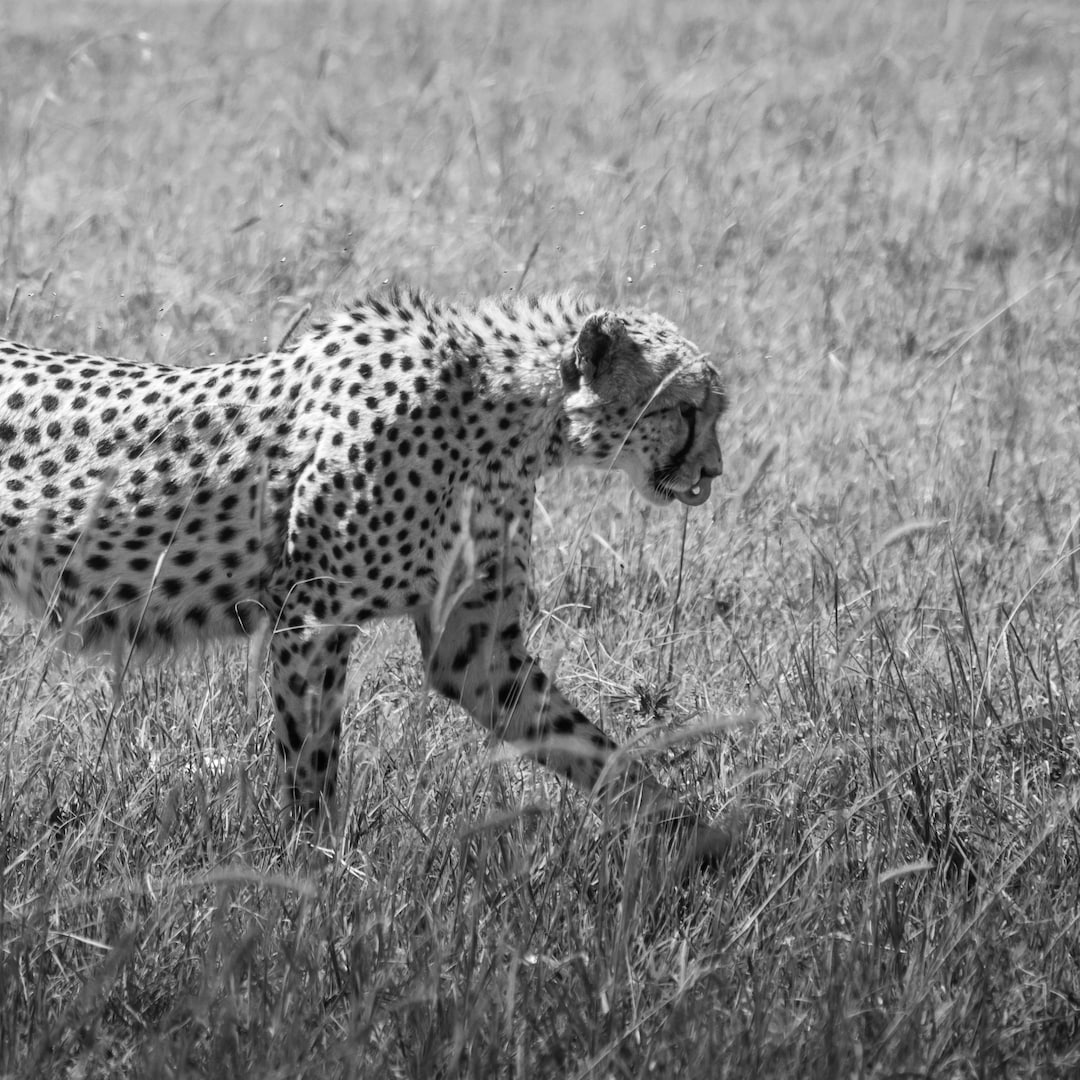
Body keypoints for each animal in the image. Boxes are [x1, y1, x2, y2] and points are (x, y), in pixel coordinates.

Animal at [0, 286, 730, 866]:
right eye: (687, 409)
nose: (714, 473)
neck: (506, 414)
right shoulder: (310, 620)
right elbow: (312, 761)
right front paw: (314, 869)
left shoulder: (474, 644)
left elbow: (592, 745)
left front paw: (695, 837)